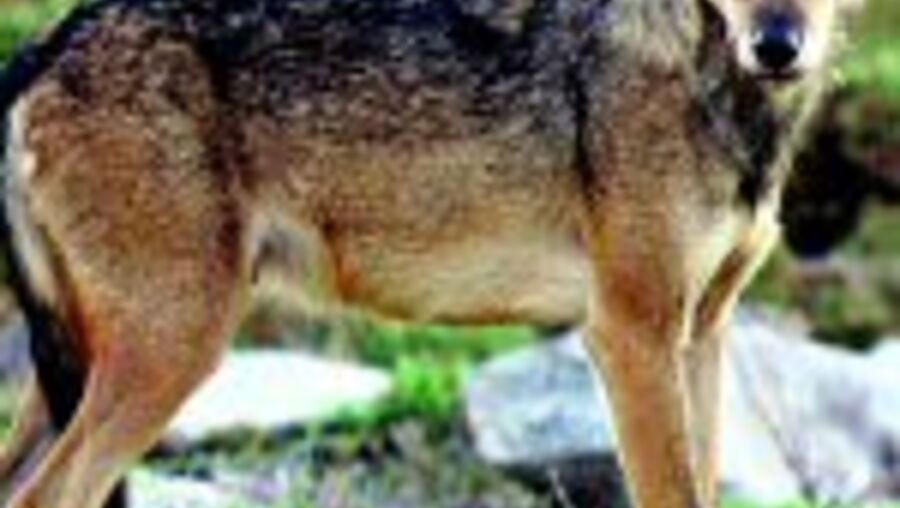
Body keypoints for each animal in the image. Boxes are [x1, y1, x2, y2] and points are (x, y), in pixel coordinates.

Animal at [0, 0, 862, 506]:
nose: (777, 45)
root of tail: (43, 45)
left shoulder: (702, 333)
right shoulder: (630, 334)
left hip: (93, 364)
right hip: (172, 353)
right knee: (48, 495)